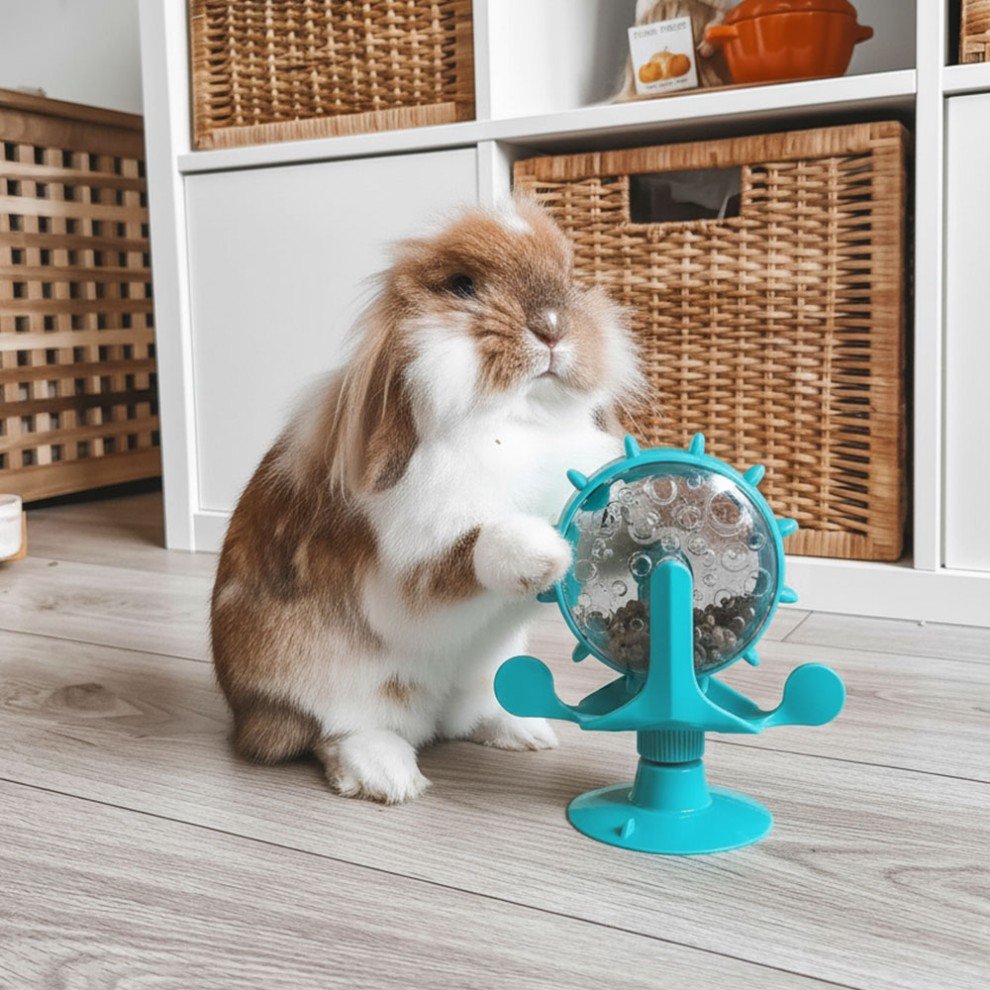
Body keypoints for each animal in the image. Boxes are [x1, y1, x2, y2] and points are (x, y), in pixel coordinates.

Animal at [210, 199, 642, 803]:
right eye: (463, 286)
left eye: (573, 278)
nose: (552, 328)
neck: (518, 421)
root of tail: (247, 721)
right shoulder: (405, 575)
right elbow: (473, 551)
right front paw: (545, 553)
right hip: (325, 683)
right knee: (335, 734)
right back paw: (387, 776)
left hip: (487, 670)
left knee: (462, 718)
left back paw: (524, 733)